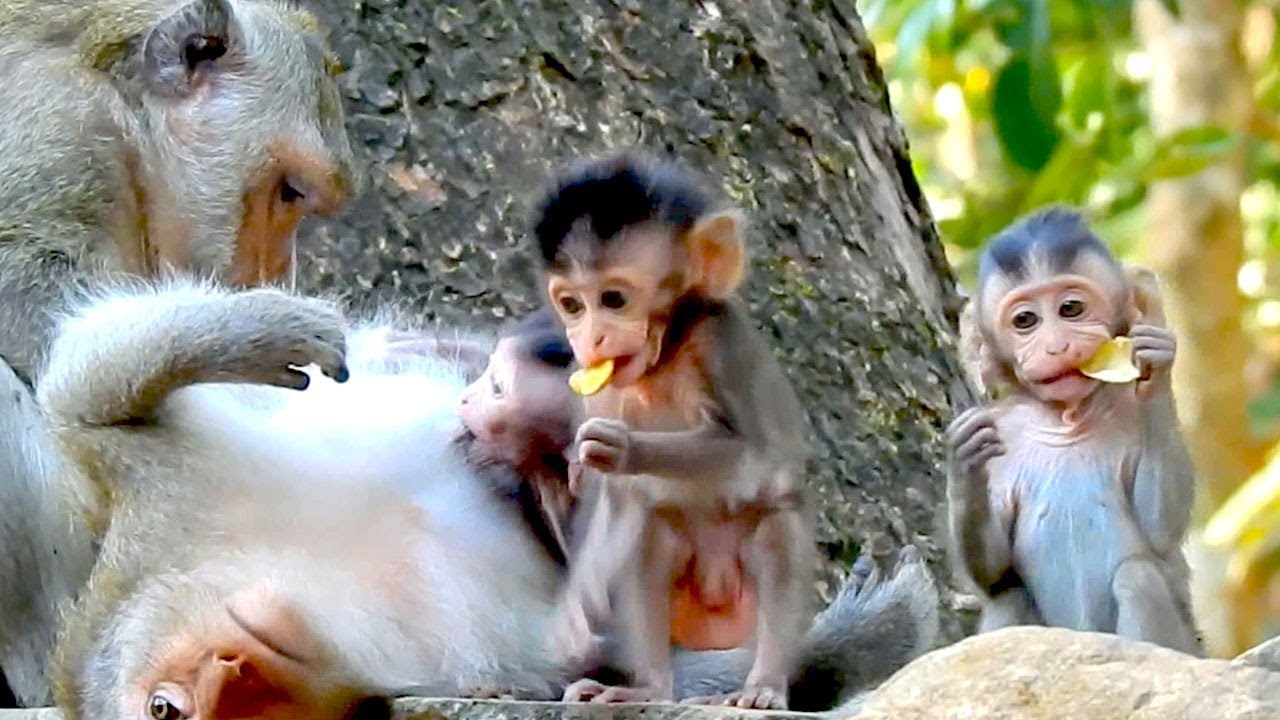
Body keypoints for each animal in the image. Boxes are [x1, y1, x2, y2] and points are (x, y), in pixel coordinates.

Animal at [35, 281, 940, 719]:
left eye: (166, 710)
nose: (233, 672)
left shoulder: (157, 494)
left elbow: (88, 391)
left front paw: (265, 332)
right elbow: (599, 670)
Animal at [532, 154, 815, 709]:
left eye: (613, 299)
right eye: (572, 305)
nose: (590, 339)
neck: (663, 356)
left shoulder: (716, 343)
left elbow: (740, 449)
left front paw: (621, 448)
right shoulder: (596, 389)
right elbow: (615, 502)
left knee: (777, 537)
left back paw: (763, 687)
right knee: (647, 542)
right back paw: (647, 689)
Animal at [946, 206, 1202, 655]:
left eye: (1070, 309)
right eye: (1025, 320)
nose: (1056, 346)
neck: (1068, 419)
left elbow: (1159, 530)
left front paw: (1156, 366)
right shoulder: (1003, 428)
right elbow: (993, 571)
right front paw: (965, 462)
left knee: (1138, 576)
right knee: (1009, 598)